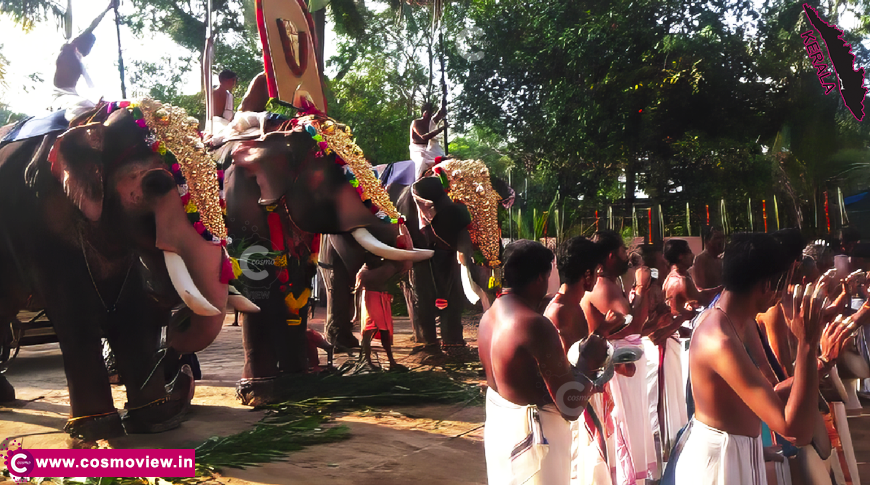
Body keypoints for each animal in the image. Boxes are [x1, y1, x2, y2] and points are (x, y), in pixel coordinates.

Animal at [0, 100, 232, 440]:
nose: (178, 327)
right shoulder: (41, 224)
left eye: (219, 180)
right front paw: (96, 429)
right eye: (158, 184)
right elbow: (74, 312)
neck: (92, 123)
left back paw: (6, 397)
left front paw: (156, 420)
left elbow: (133, 308)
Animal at [213, 110, 434, 404]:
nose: (363, 275)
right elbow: (259, 277)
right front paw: (258, 394)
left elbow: (300, 280)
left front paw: (299, 380)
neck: (281, 134)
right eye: (344, 178)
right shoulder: (241, 196)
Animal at [322, 159, 510, 356]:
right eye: (463, 218)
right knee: (336, 275)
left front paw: (455, 350)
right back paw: (342, 346)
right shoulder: (411, 220)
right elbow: (421, 273)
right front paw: (432, 353)